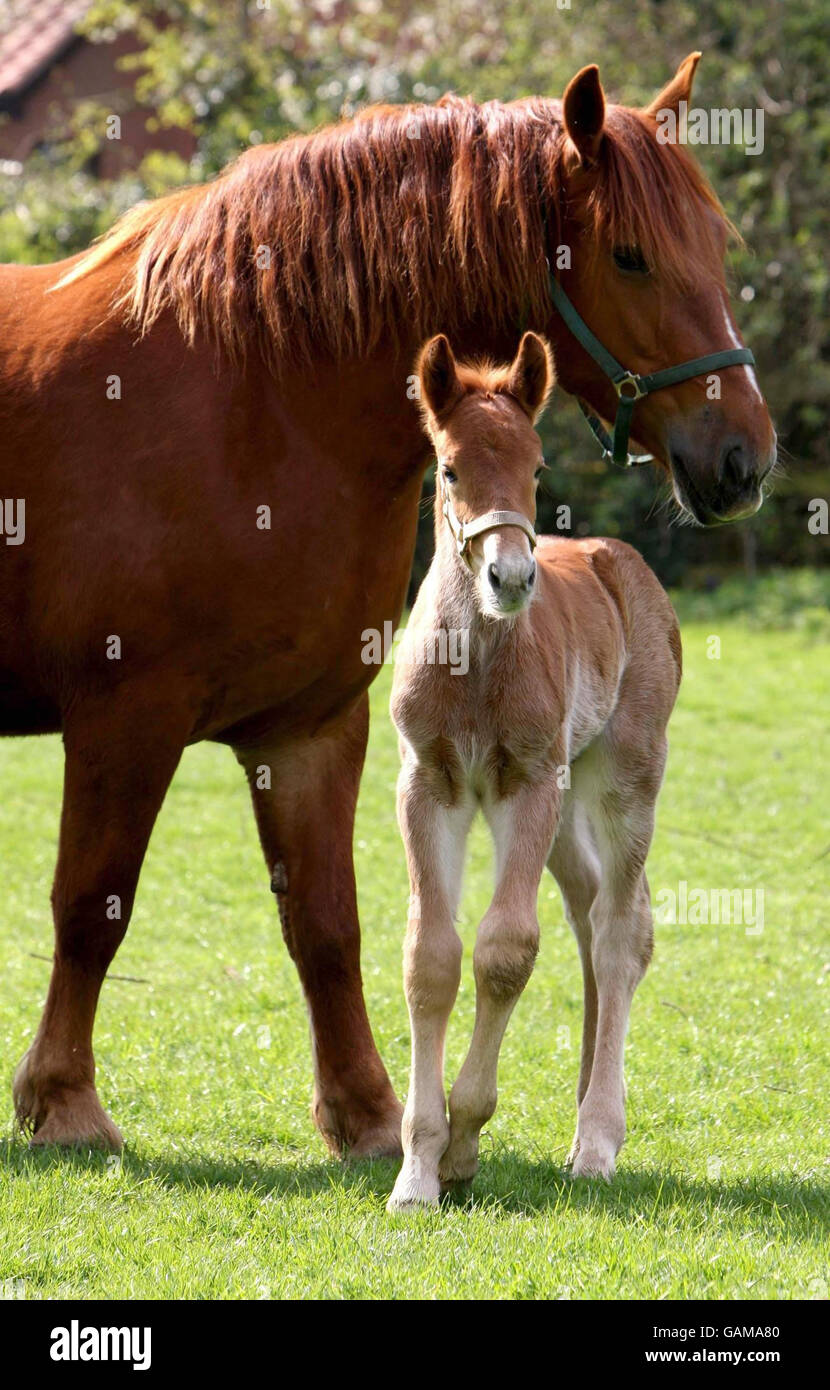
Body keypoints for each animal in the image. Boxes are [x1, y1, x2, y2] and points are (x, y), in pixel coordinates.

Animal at [387, 332, 681, 1210]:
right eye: (450, 468)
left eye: (539, 467)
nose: (512, 578)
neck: (478, 661)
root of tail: (620, 558)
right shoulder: (427, 785)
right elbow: (432, 955)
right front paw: (417, 1171)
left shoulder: (527, 784)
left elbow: (506, 948)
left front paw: (463, 1141)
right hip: (564, 799)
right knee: (588, 910)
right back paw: (582, 1108)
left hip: (620, 778)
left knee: (620, 931)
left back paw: (597, 1139)